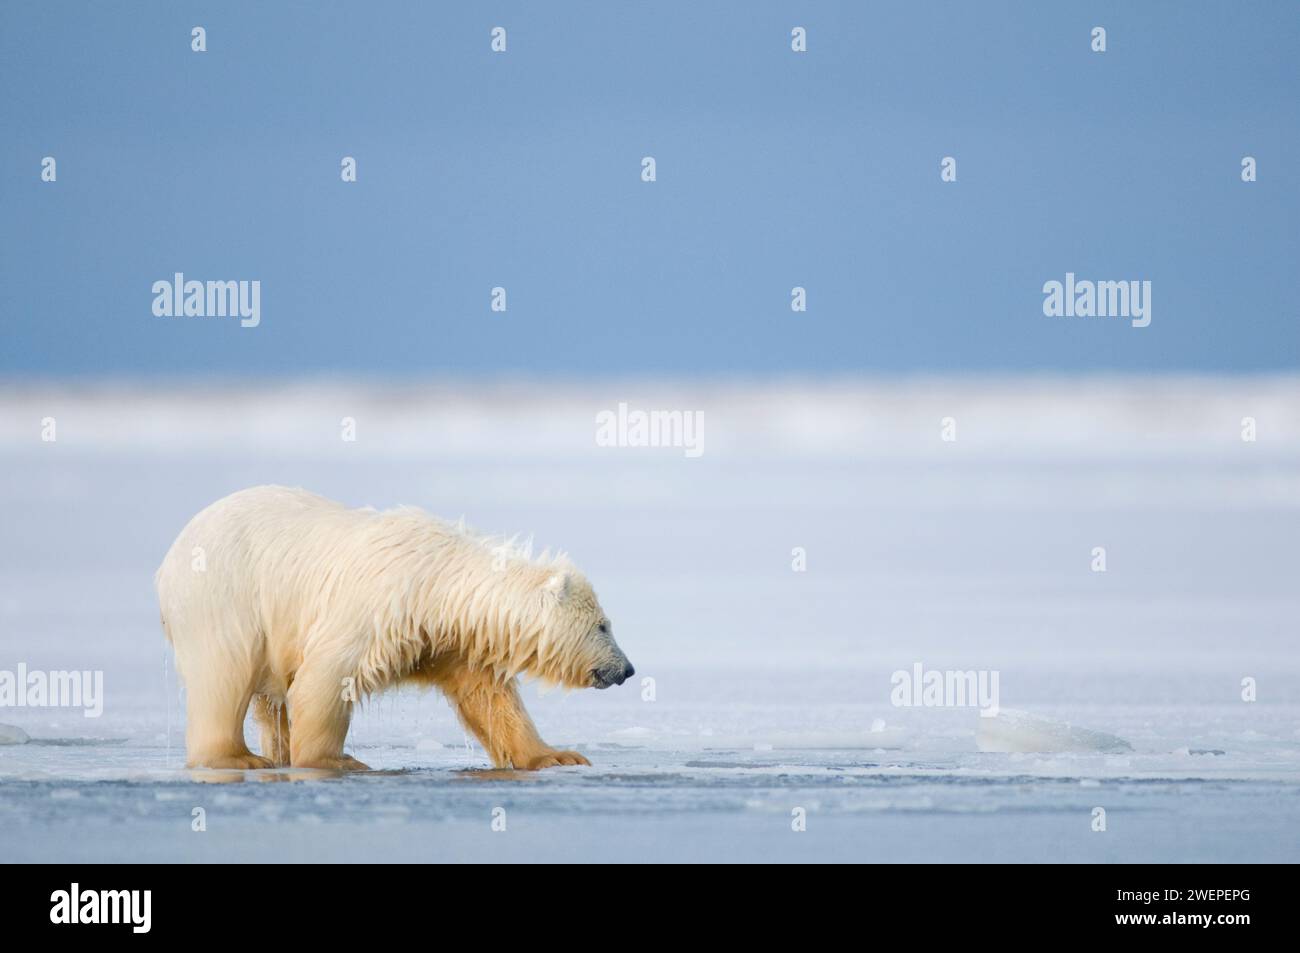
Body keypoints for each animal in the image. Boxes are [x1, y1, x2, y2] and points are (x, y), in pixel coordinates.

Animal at [155, 485, 633, 771]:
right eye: (604, 626)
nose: (627, 669)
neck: (438, 584)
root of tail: (166, 565)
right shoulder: (376, 607)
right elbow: (324, 679)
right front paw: (336, 761)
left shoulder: (448, 640)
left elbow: (491, 701)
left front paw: (558, 756)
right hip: (225, 596)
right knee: (224, 675)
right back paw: (238, 758)